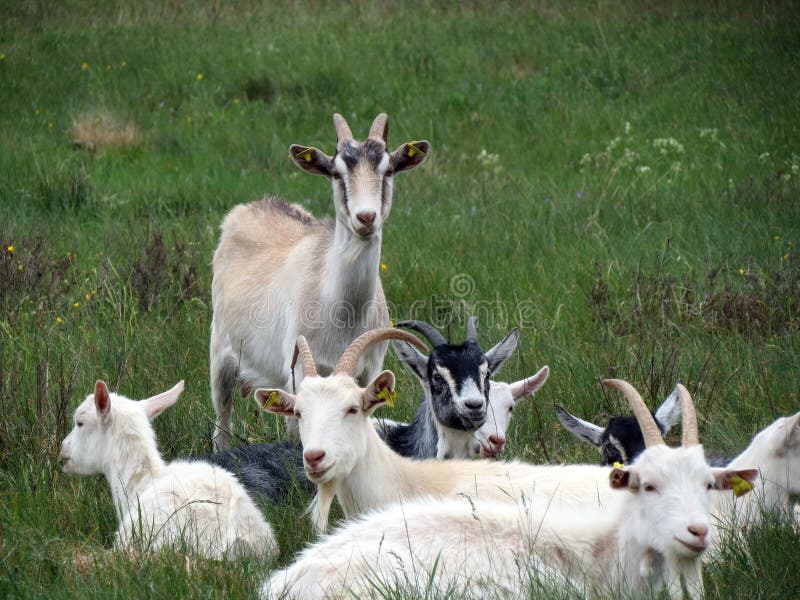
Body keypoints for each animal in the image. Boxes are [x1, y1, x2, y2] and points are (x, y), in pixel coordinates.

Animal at [210, 113, 430, 449]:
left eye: (389, 169)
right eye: (337, 173)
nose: (366, 217)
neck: (343, 312)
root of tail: (251, 207)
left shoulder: (370, 369)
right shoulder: (301, 368)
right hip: (221, 351)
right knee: (222, 421)